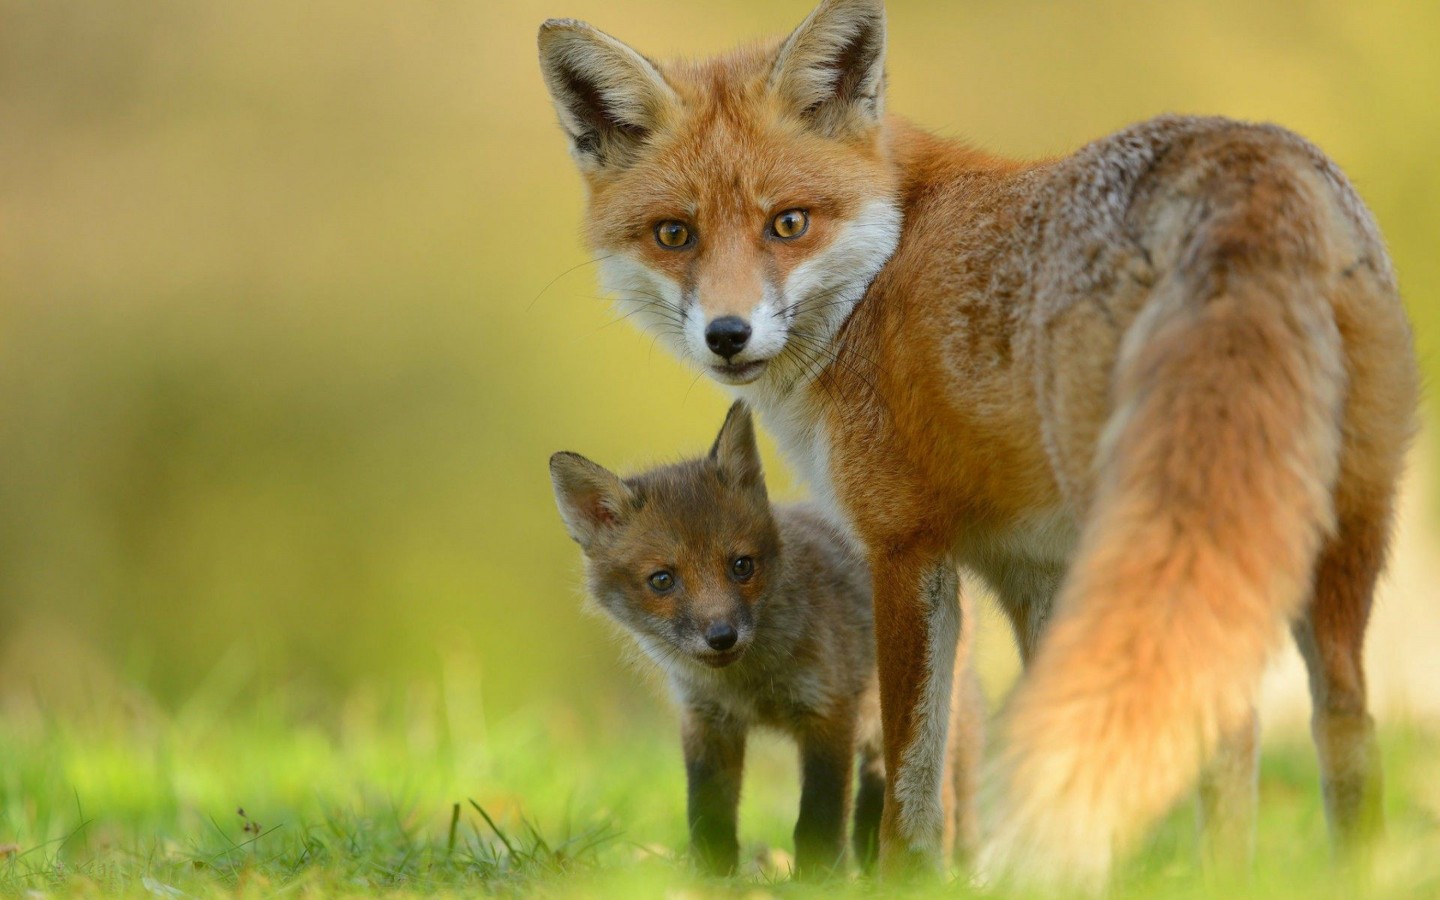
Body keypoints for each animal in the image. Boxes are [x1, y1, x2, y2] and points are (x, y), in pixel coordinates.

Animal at [548, 402, 985, 878]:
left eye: (742, 565)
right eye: (662, 580)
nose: (722, 636)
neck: (749, 685)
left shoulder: (828, 710)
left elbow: (817, 818)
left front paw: (818, 879)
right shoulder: (706, 720)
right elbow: (709, 814)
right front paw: (712, 876)